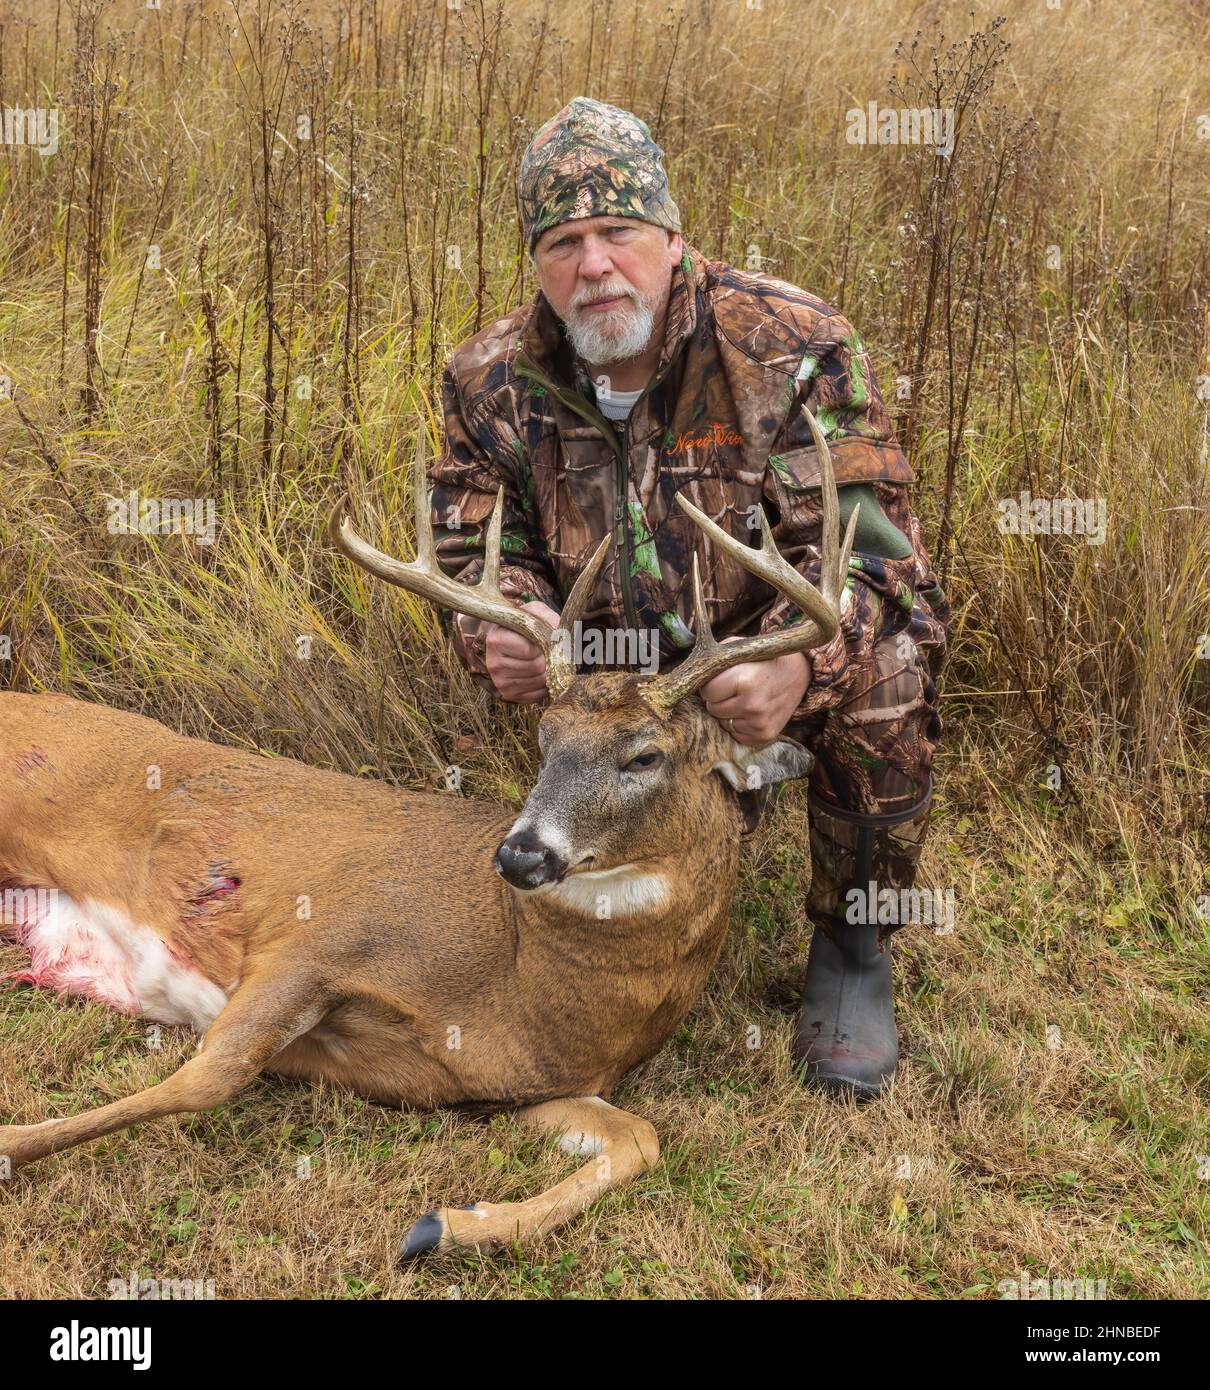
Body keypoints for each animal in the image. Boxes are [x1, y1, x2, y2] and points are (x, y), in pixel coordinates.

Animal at [0, 406, 856, 1261]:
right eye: (544, 737)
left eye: (646, 755)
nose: (520, 853)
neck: (517, 971)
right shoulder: (316, 936)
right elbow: (212, 1077)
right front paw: (11, 1142)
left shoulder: (526, 1087)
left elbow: (640, 1140)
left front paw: (443, 1225)